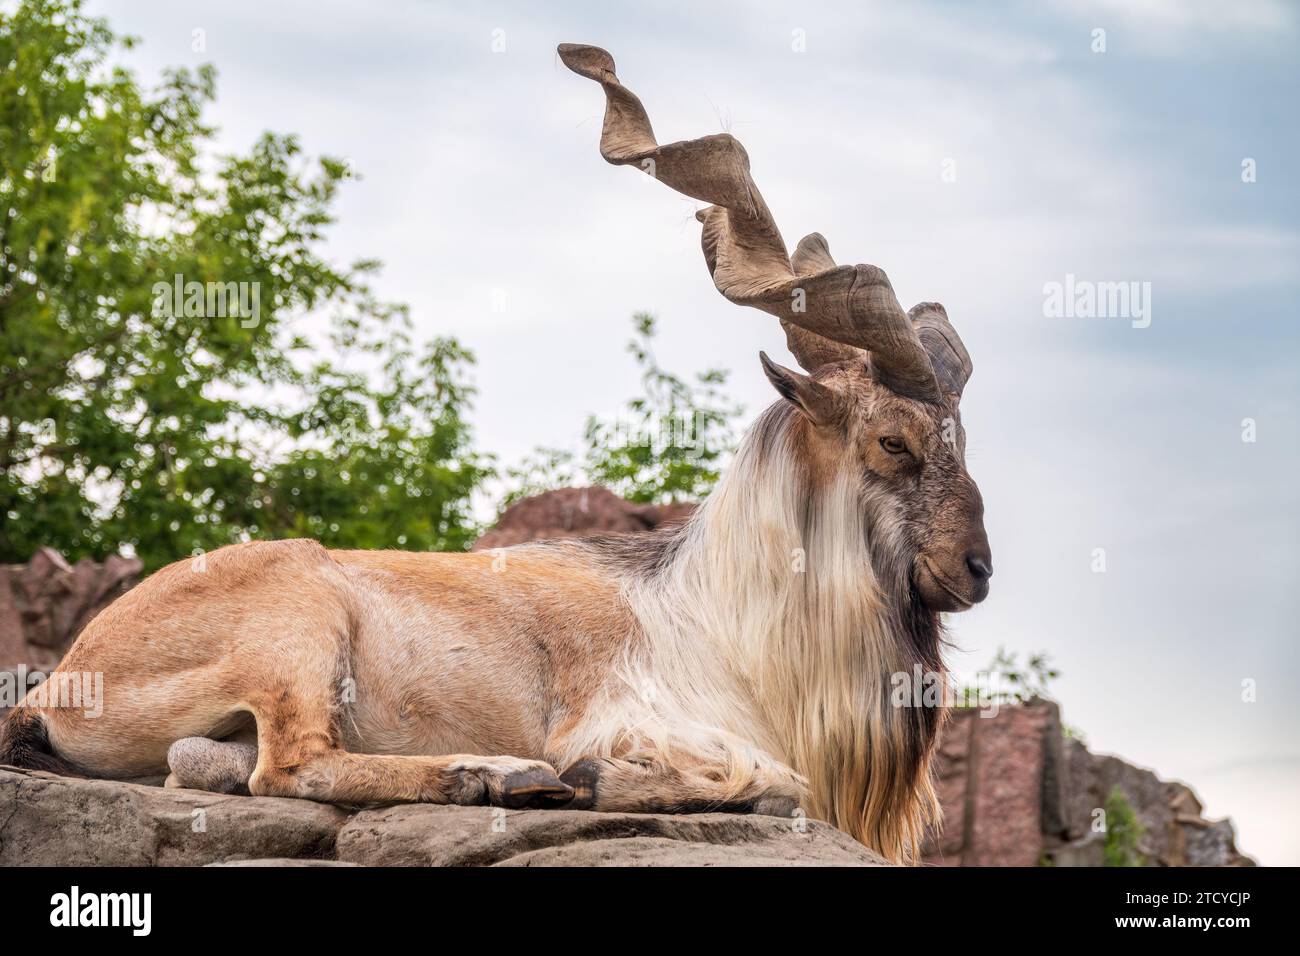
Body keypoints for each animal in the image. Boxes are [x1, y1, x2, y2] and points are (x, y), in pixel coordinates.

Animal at [0, 44, 991, 864]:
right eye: (892, 440)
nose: (976, 568)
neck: (722, 619)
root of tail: (62, 683)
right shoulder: (630, 717)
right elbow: (776, 784)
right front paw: (590, 780)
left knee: (200, 762)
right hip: (297, 621)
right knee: (287, 765)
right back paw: (492, 774)